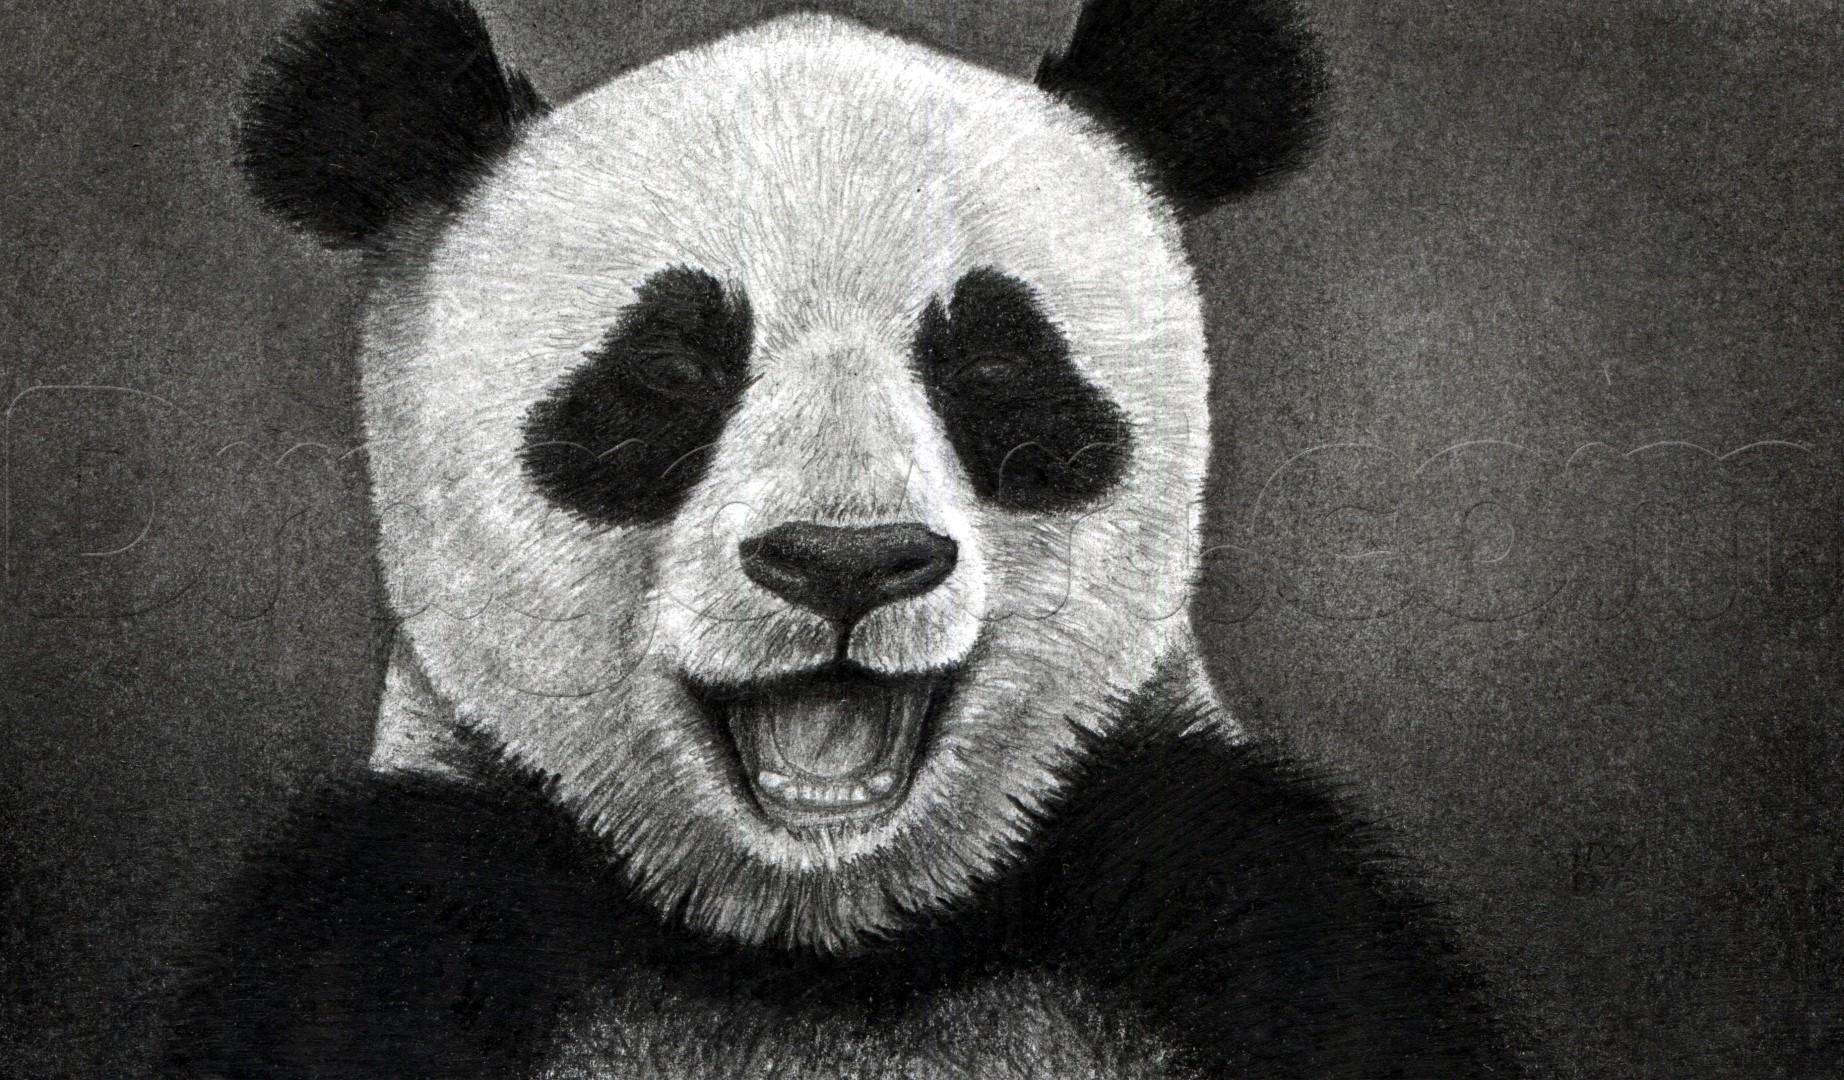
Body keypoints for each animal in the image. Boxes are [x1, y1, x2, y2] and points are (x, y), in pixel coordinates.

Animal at [165, 1, 1524, 1077]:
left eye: (992, 363)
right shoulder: (397, 916)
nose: (845, 560)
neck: (824, 936)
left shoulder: (1236, 891)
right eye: (669, 368)